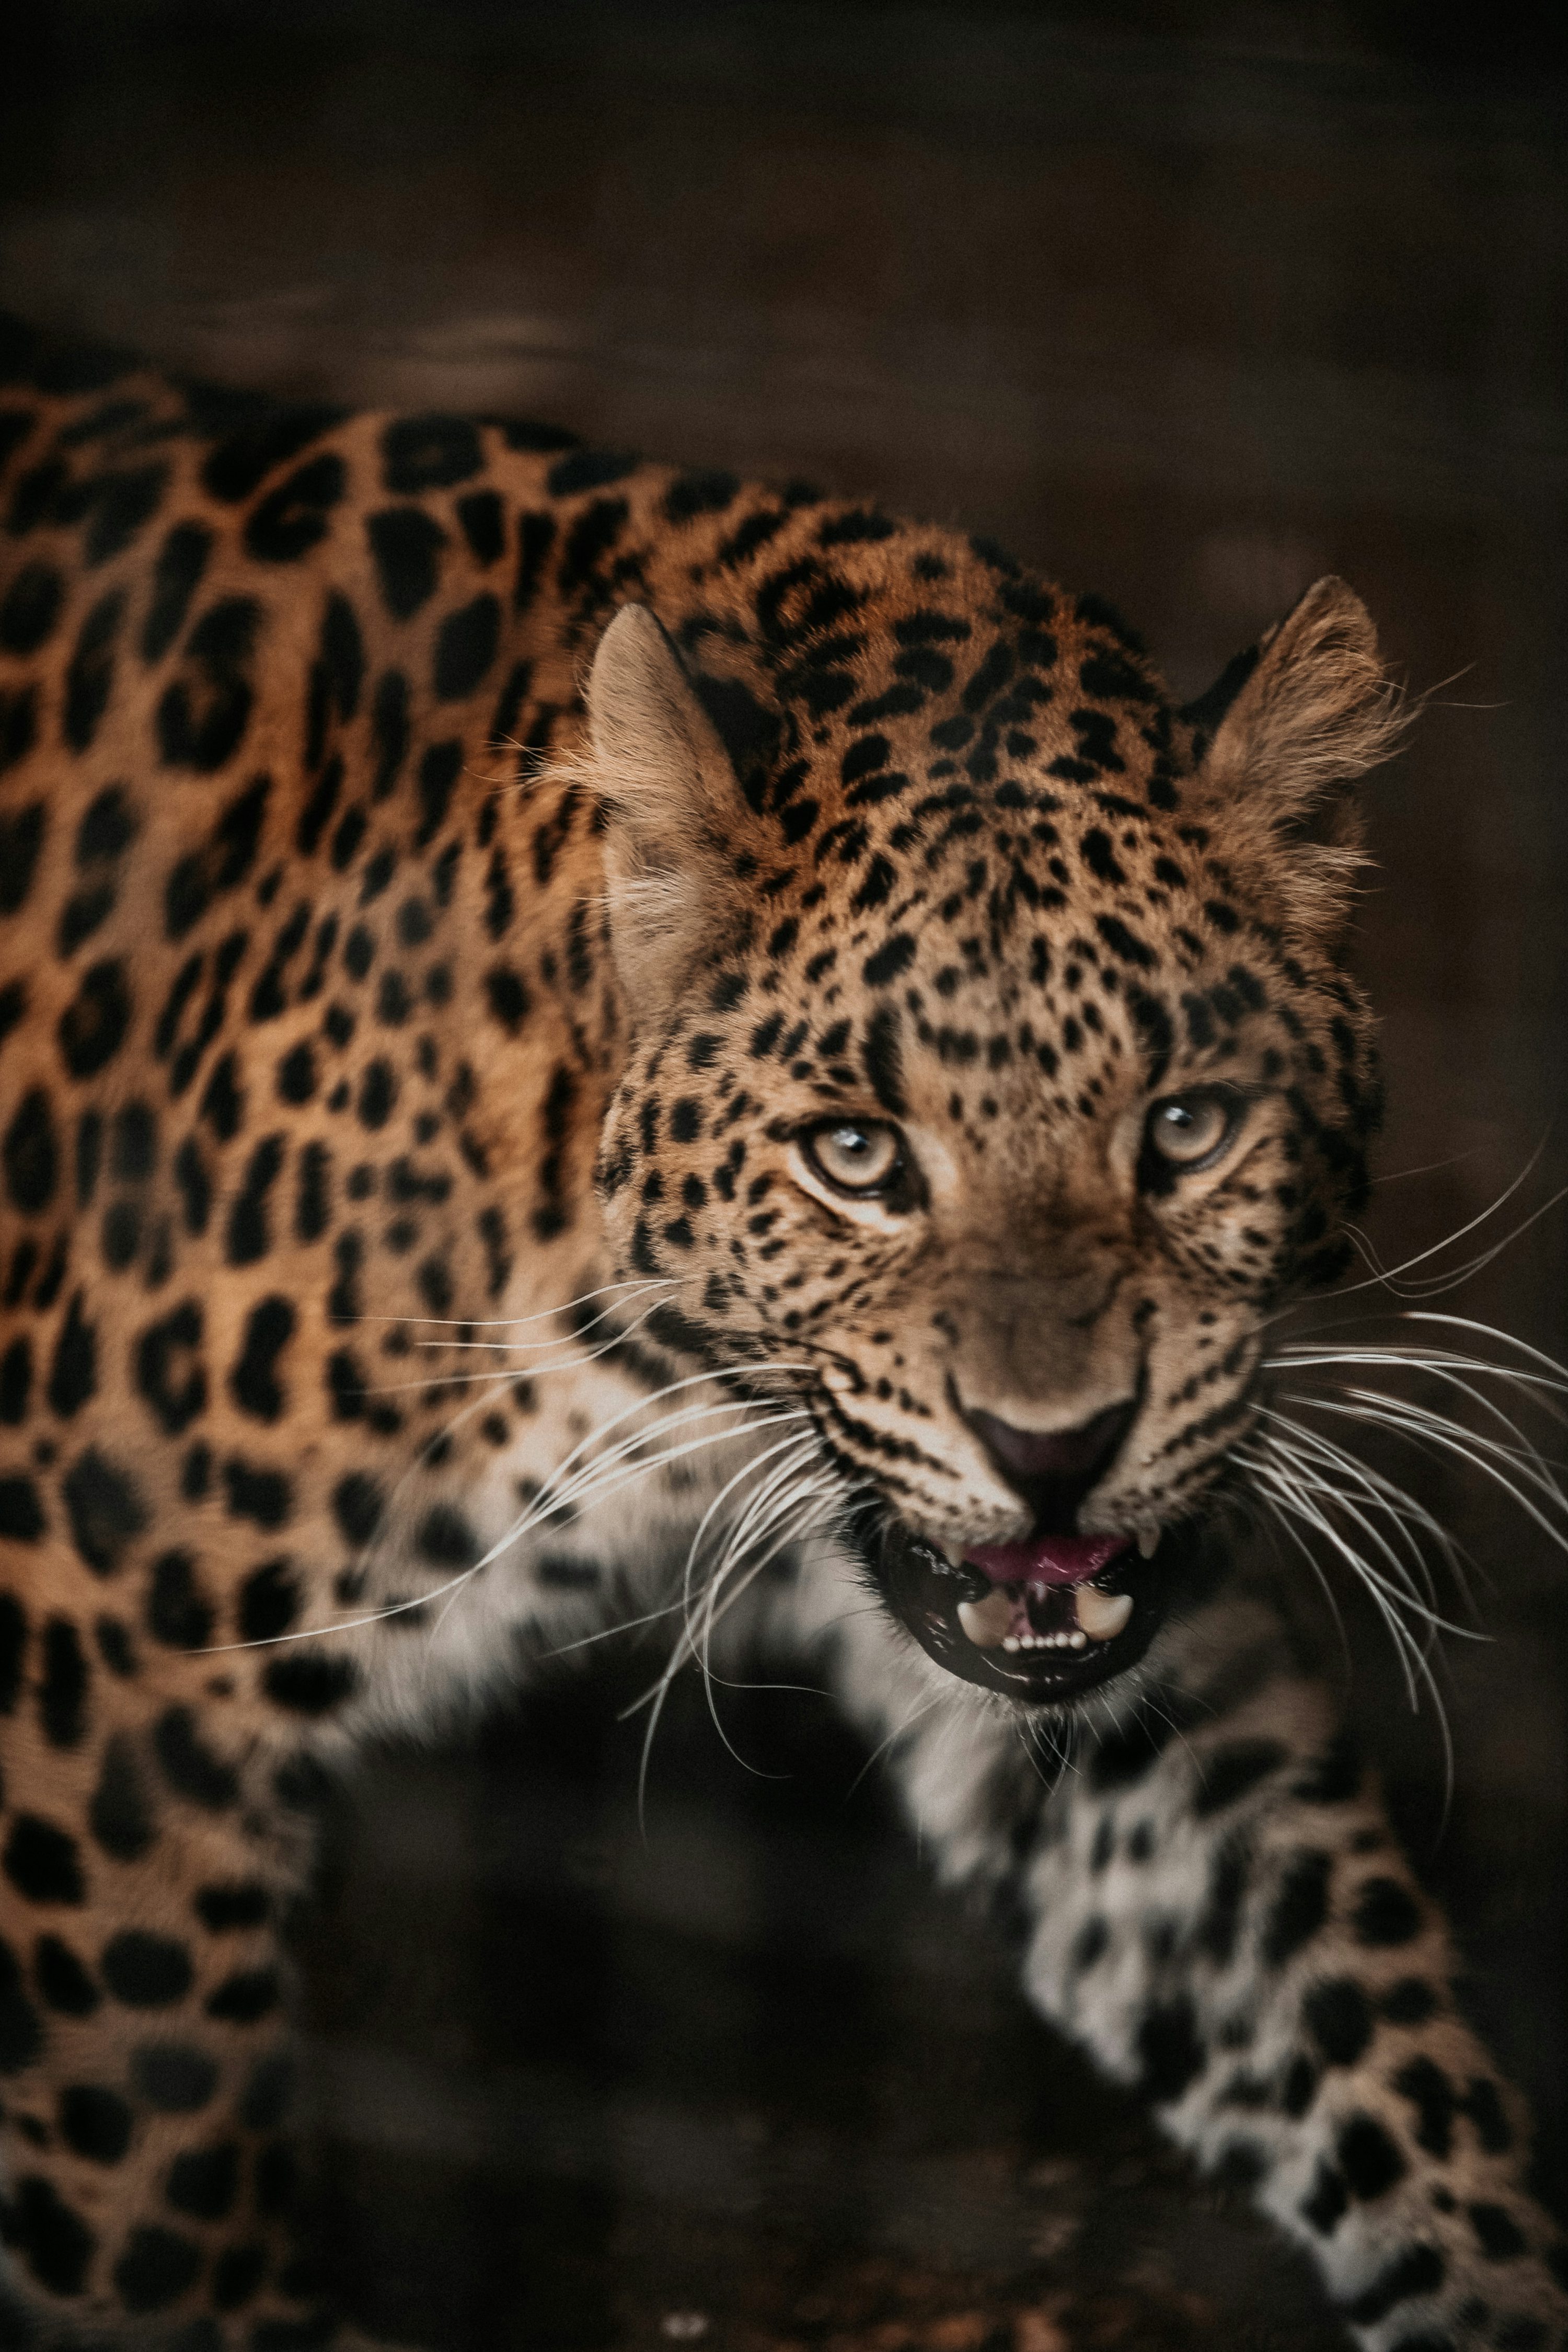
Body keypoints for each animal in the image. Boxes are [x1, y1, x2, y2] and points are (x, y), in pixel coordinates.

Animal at [0, 306, 1564, 2352]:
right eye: (856, 1155)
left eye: (1183, 1128)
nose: (1054, 1449)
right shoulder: (104, 1687)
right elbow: (152, 2202)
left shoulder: (1122, 1683)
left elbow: (1355, 2020)